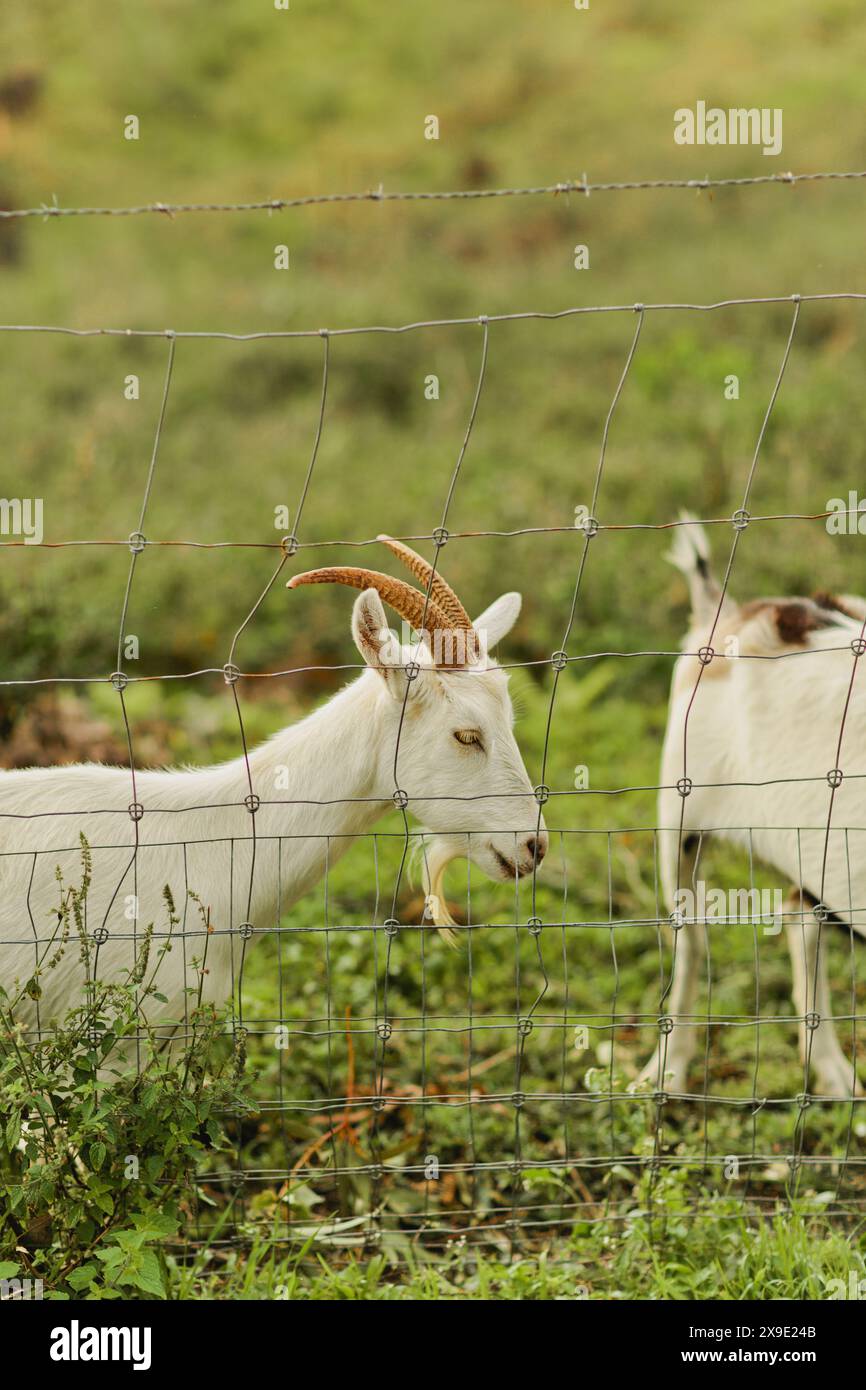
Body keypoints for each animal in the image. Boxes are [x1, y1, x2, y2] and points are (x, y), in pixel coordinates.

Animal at [639, 516, 866, 1098]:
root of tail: (726, 614)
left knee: (799, 918)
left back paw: (834, 1075)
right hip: (678, 819)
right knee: (690, 943)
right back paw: (665, 1074)